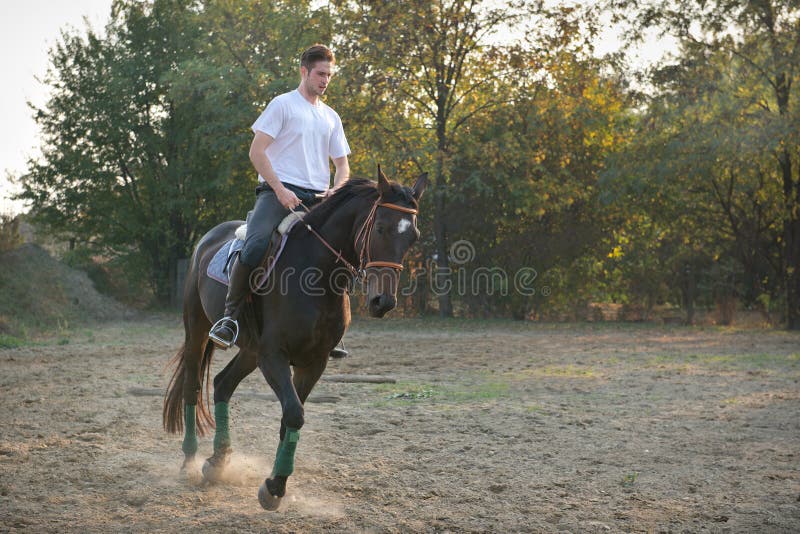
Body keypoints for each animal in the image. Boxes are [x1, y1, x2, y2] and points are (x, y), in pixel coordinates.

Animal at [163, 167, 427, 510]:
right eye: (380, 228)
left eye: (413, 237)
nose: (384, 302)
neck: (317, 274)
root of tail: (208, 239)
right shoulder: (273, 356)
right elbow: (294, 414)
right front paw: (274, 486)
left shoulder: (313, 362)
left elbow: (289, 420)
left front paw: (275, 486)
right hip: (198, 330)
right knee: (192, 387)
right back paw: (190, 461)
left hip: (250, 350)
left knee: (222, 384)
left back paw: (218, 462)